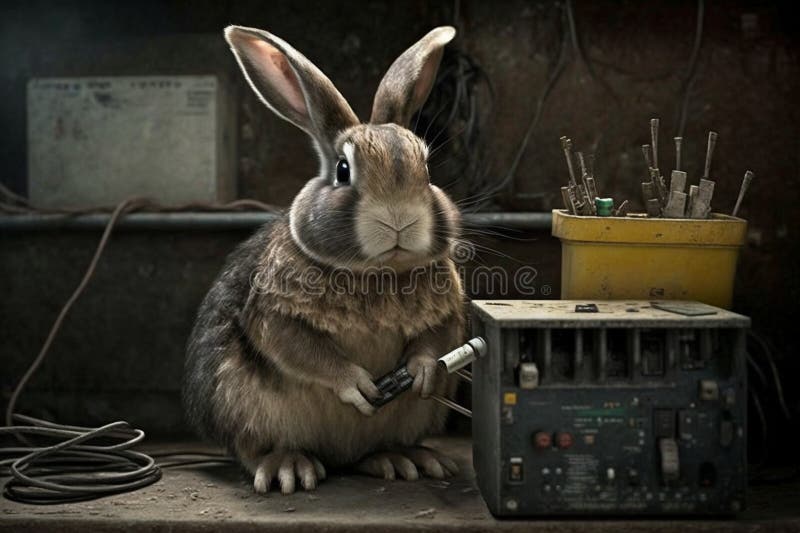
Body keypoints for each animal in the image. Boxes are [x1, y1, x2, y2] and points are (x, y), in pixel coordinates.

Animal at [183, 24, 466, 495]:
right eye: (342, 170)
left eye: (426, 169)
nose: (400, 218)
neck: (378, 273)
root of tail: (339, 459)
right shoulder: (274, 315)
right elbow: (303, 350)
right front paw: (357, 384)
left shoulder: (446, 314)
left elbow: (434, 342)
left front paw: (423, 373)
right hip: (238, 403)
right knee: (254, 450)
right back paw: (289, 468)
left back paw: (403, 460)